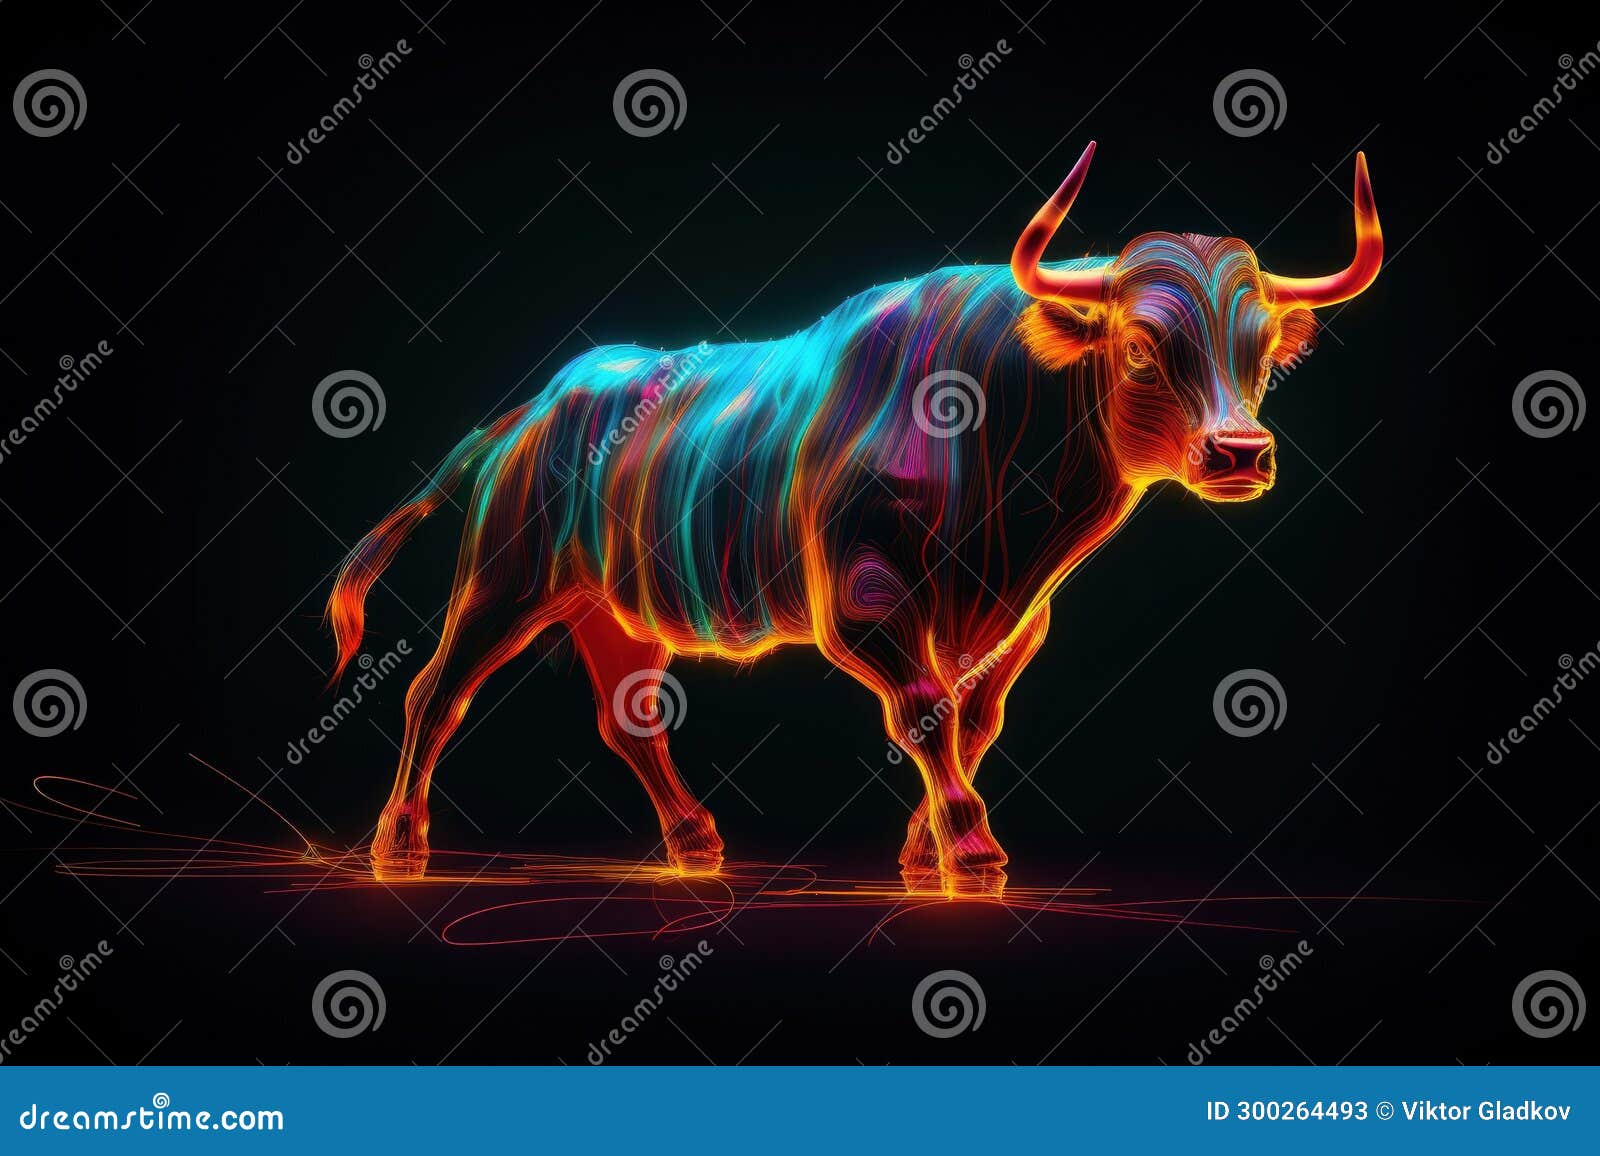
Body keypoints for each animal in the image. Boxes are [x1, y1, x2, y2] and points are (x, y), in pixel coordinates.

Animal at [327, 142, 1381, 898]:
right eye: (1140, 347)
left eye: (1259, 352)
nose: (1240, 452)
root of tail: (543, 399)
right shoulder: (864, 600)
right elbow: (922, 708)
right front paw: (971, 847)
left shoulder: (1019, 622)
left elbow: (977, 715)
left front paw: (928, 843)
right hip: (503, 580)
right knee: (435, 692)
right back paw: (399, 841)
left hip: (612, 611)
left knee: (628, 720)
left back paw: (695, 840)